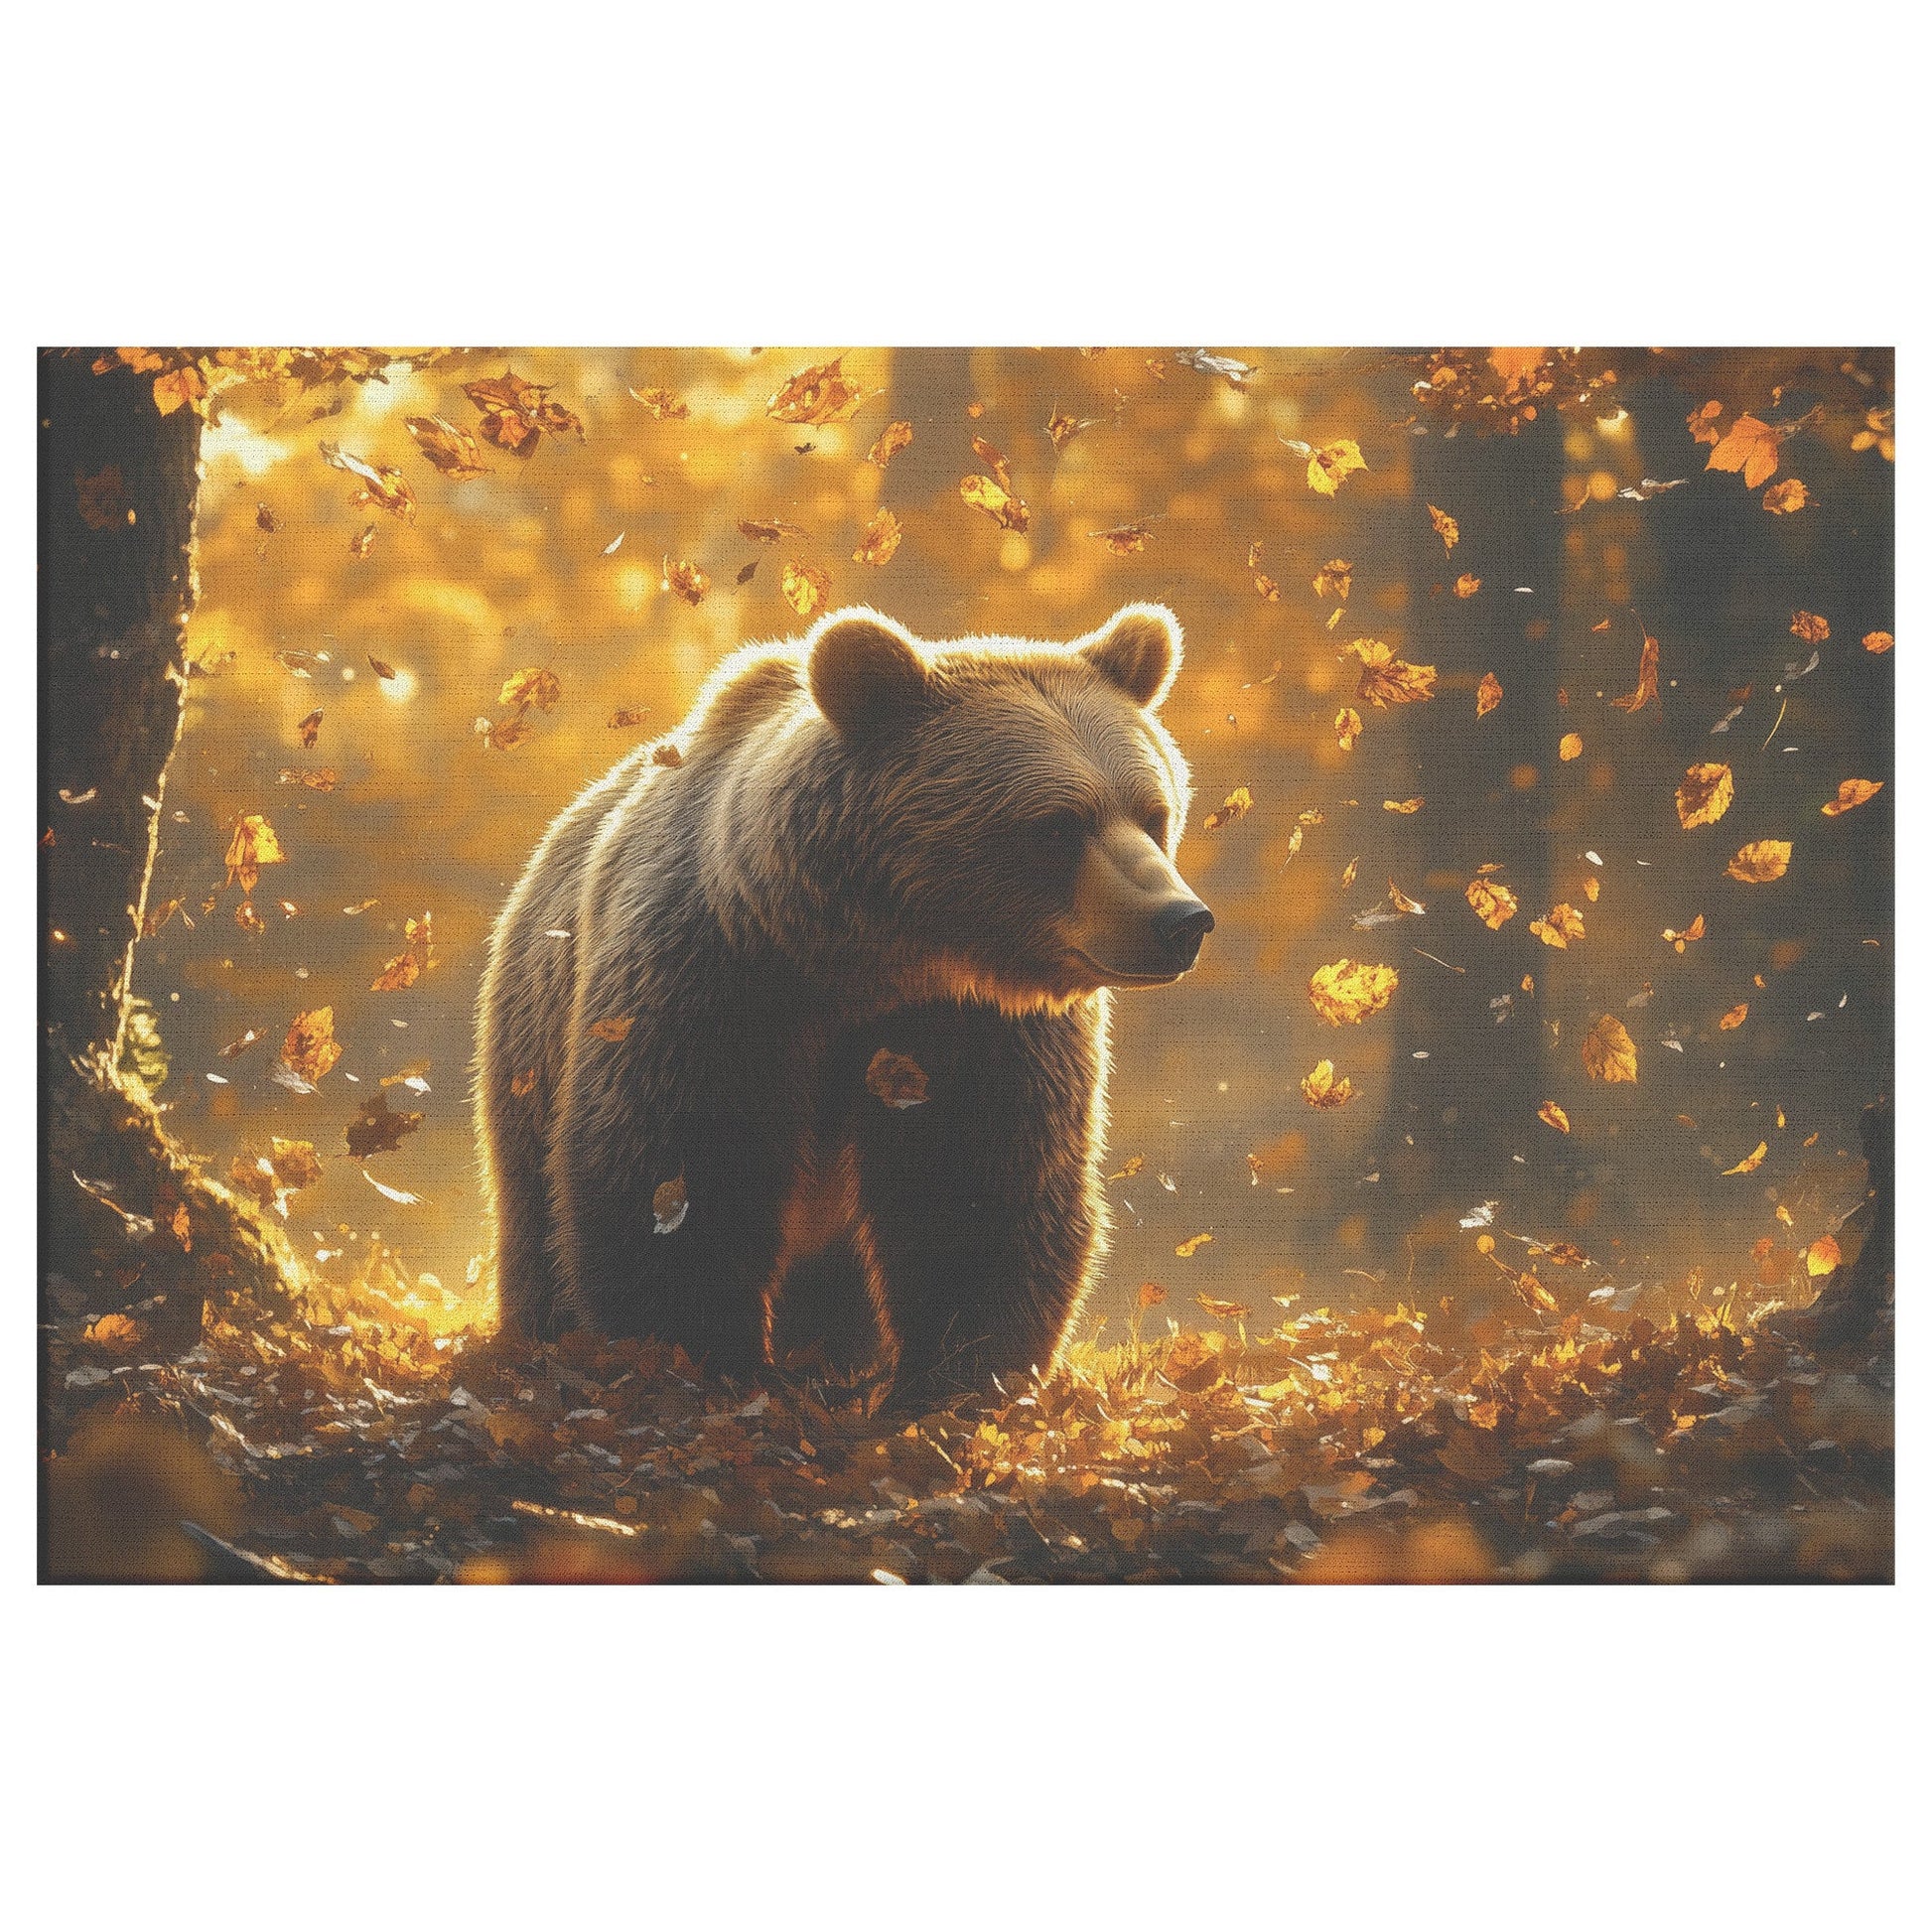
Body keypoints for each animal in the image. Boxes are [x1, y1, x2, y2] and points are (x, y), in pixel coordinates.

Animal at [473, 602, 1212, 1407]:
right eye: (1058, 824)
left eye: (1153, 811)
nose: (1179, 921)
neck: (867, 957)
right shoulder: (713, 978)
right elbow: (680, 1173)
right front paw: (701, 1360)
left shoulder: (976, 1026)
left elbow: (978, 1186)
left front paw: (953, 1381)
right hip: (530, 1045)